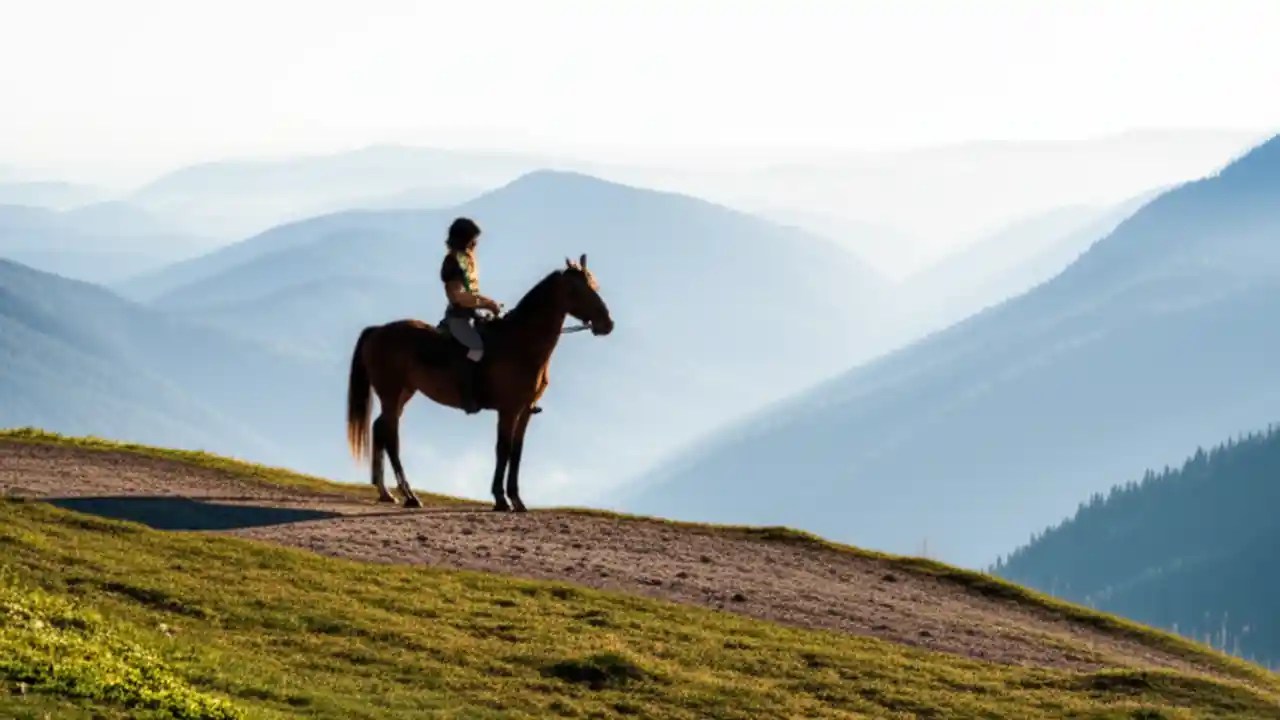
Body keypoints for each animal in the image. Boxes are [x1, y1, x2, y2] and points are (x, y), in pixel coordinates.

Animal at [345, 255, 613, 511]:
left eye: (594, 285)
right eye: (578, 289)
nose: (607, 324)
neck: (521, 342)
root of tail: (378, 330)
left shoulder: (525, 410)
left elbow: (516, 452)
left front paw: (517, 500)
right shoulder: (508, 410)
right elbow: (503, 449)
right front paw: (501, 499)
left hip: (403, 394)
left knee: (380, 428)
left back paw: (385, 492)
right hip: (391, 395)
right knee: (391, 437)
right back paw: (410, 495)